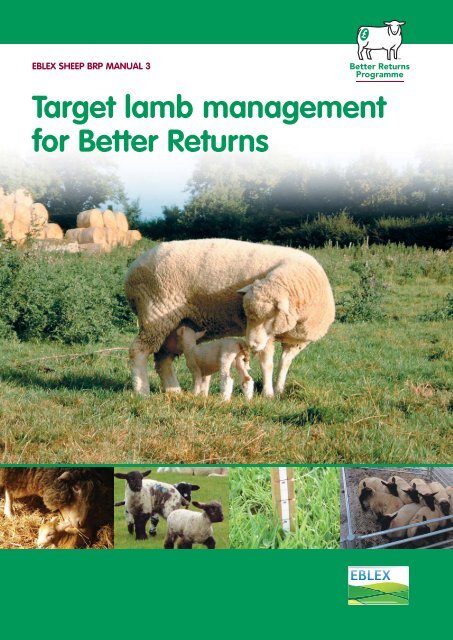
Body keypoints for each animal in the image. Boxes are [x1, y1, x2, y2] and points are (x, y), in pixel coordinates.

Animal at [125, 239, 335, 398]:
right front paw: (268, 394)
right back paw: (142, 391)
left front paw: (280, 389)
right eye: (247, 315)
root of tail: (132, 268)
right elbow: (267, 364)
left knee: (163, 359)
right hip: (156, 312)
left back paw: (173, 390)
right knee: (138, 351)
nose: (250, 344)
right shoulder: (267, 338)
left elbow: (285, 364)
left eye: (271, 316)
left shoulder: (295, 342)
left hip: (174, 326)